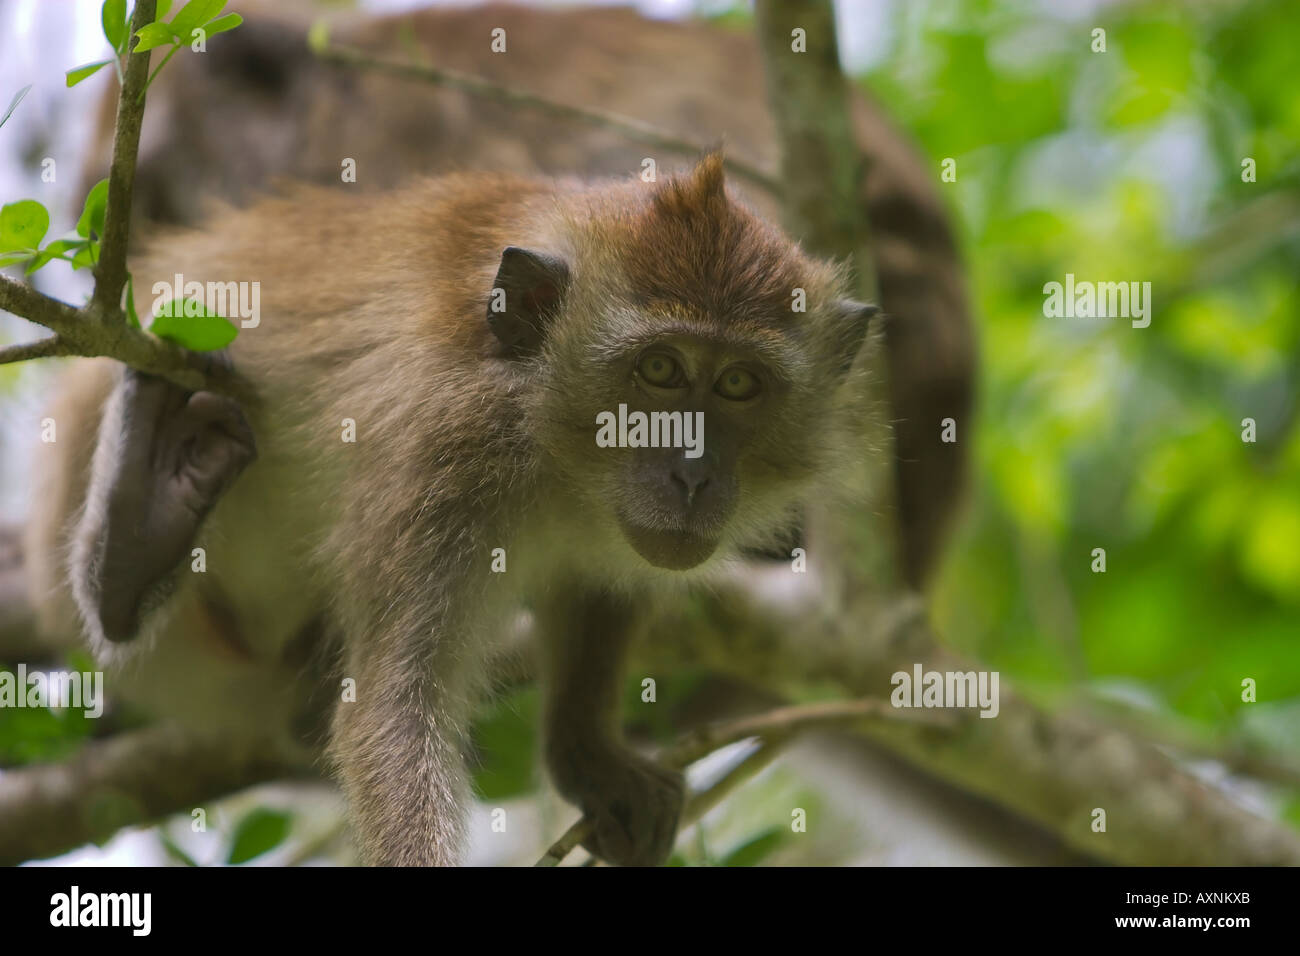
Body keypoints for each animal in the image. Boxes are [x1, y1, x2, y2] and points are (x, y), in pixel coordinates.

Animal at [26, 154, 882, 866]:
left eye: (738, 384)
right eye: (662, 370)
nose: (692, 476)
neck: (550, 447)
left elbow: (597, 588)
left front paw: (588, 755)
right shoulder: (443, 450)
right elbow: (390, 715)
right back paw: (136, 540)